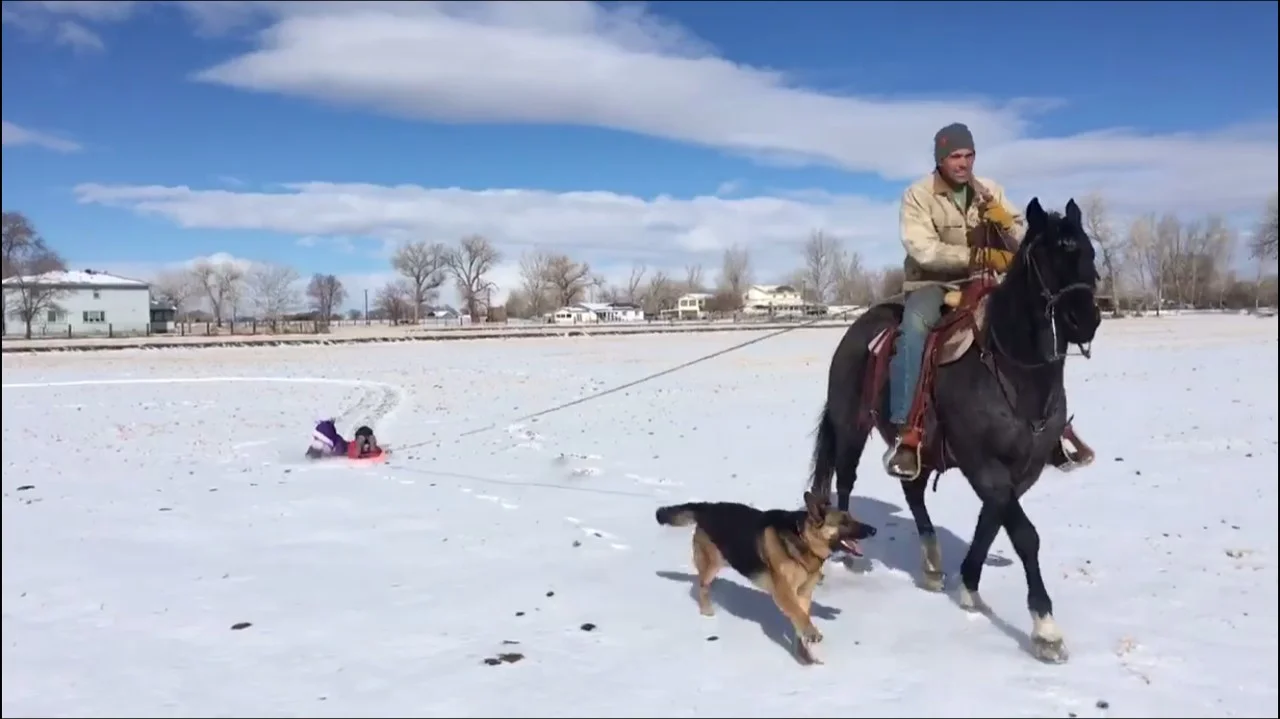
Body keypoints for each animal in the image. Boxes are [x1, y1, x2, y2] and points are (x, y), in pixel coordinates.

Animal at [808, 197, 1101, 663]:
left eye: (1088, 252)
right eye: (1047, 257)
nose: (1084, 319)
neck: (1014, 373)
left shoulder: (1024, 469)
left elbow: (992, 521)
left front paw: (968, 586)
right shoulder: (983, 464)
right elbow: (1024, 535)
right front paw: (1045, 629)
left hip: (919, 447)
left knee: (912, 489)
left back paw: (931, 564)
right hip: (851, 426)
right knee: (844, 479)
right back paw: (850, 553)